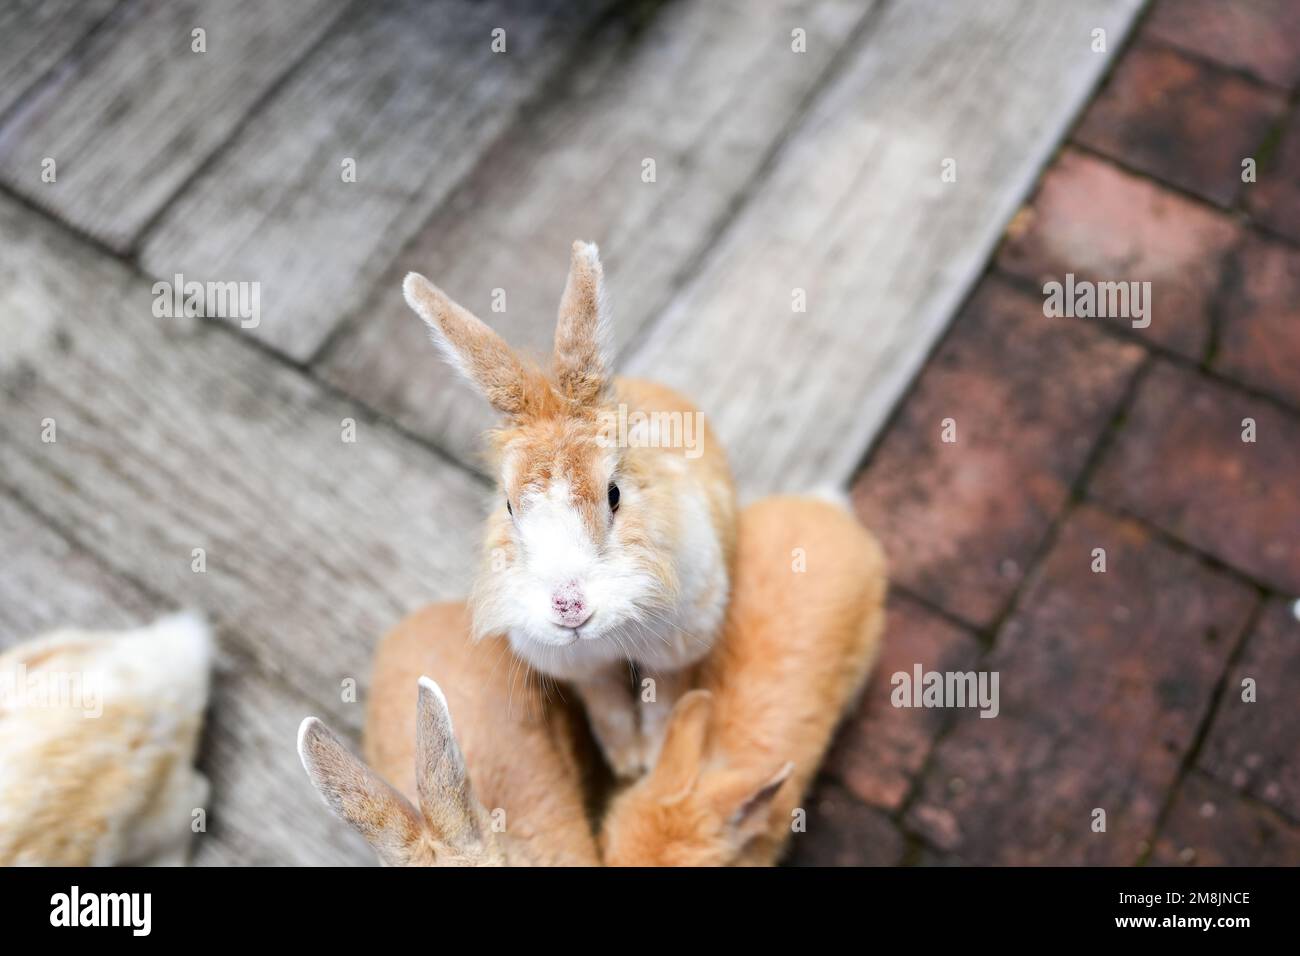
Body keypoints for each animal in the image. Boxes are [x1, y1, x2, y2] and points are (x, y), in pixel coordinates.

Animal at [401, 241, 737, 779]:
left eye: (614, 494)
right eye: (509, 505)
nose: (569, 607)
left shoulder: (676, 650)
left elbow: (663, 702)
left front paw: (650, 762)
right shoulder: (584, 671)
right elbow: (610, 711)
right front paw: (627, 764)